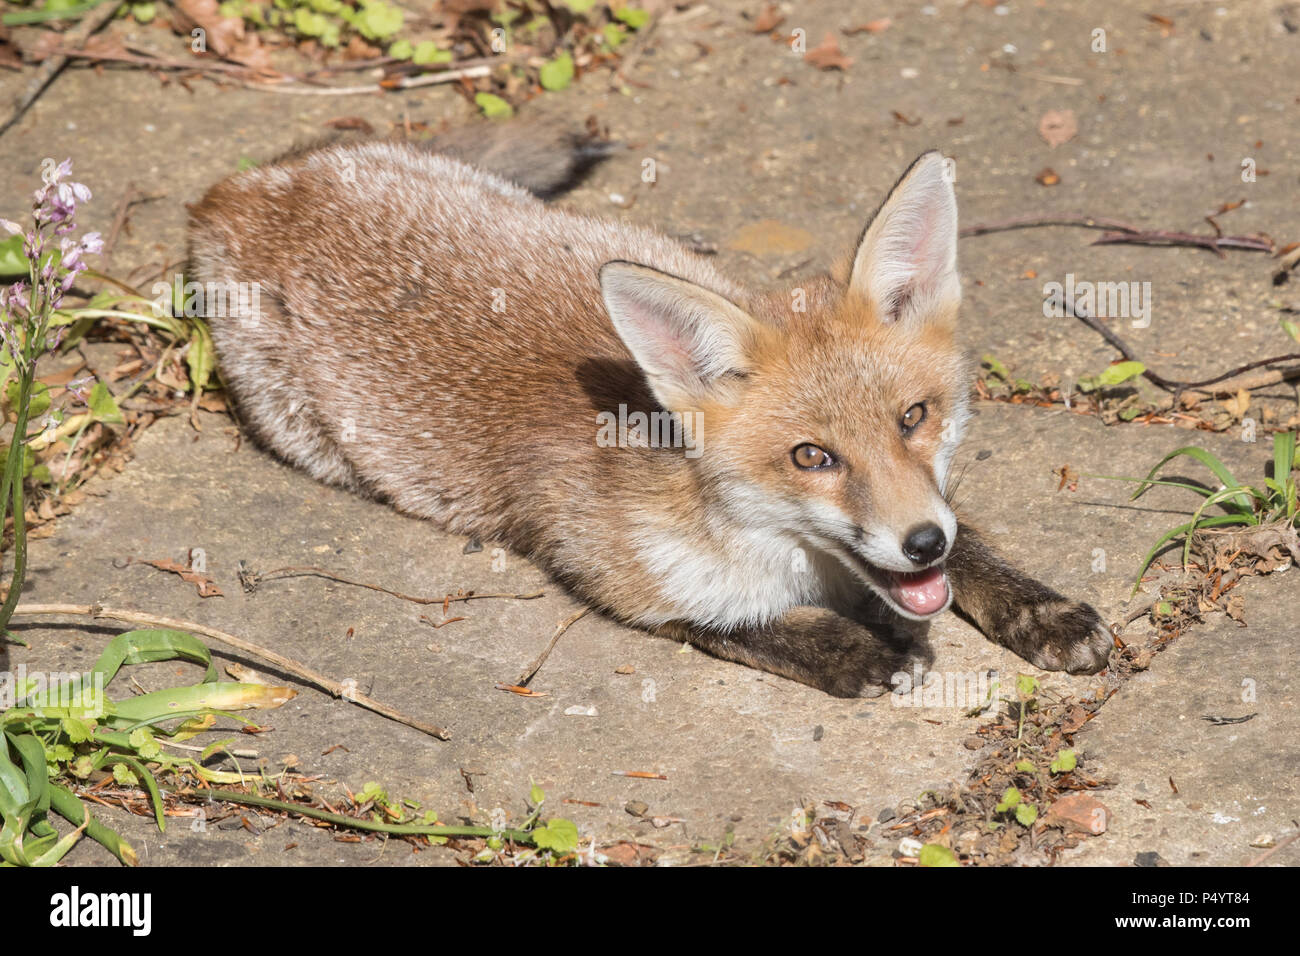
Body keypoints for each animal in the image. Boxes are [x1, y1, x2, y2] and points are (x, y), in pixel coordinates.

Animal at [187, 128, 1113, 698]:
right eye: (811, 457)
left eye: (913, 417)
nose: (921, 543)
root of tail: (239, 189)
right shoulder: (598, 558)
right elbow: (731, 620)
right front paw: (860, 651)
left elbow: (976, 543)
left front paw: (1036, 607)